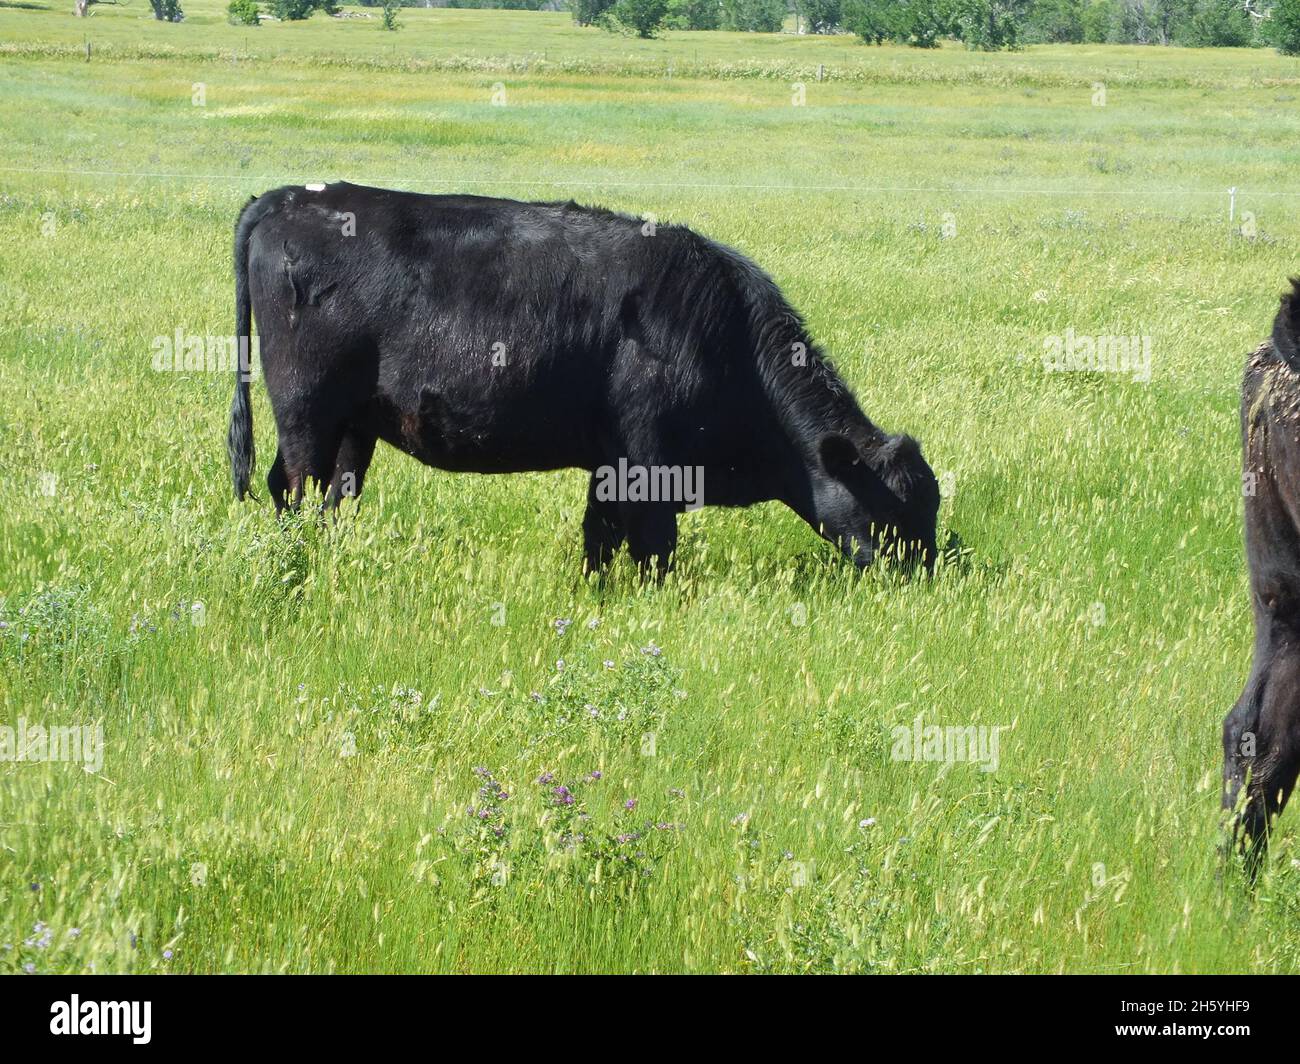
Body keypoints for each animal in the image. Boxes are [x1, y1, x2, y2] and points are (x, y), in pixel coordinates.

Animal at [227, 182, 941, 577]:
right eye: (891, 511)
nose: (931, 576)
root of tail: (285, 198)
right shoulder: (651, 466)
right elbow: (654, 550)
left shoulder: (610, 465)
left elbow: (600, 541)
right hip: (305, 412)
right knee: (292, 488)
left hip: (355, 426)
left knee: (332, 497)